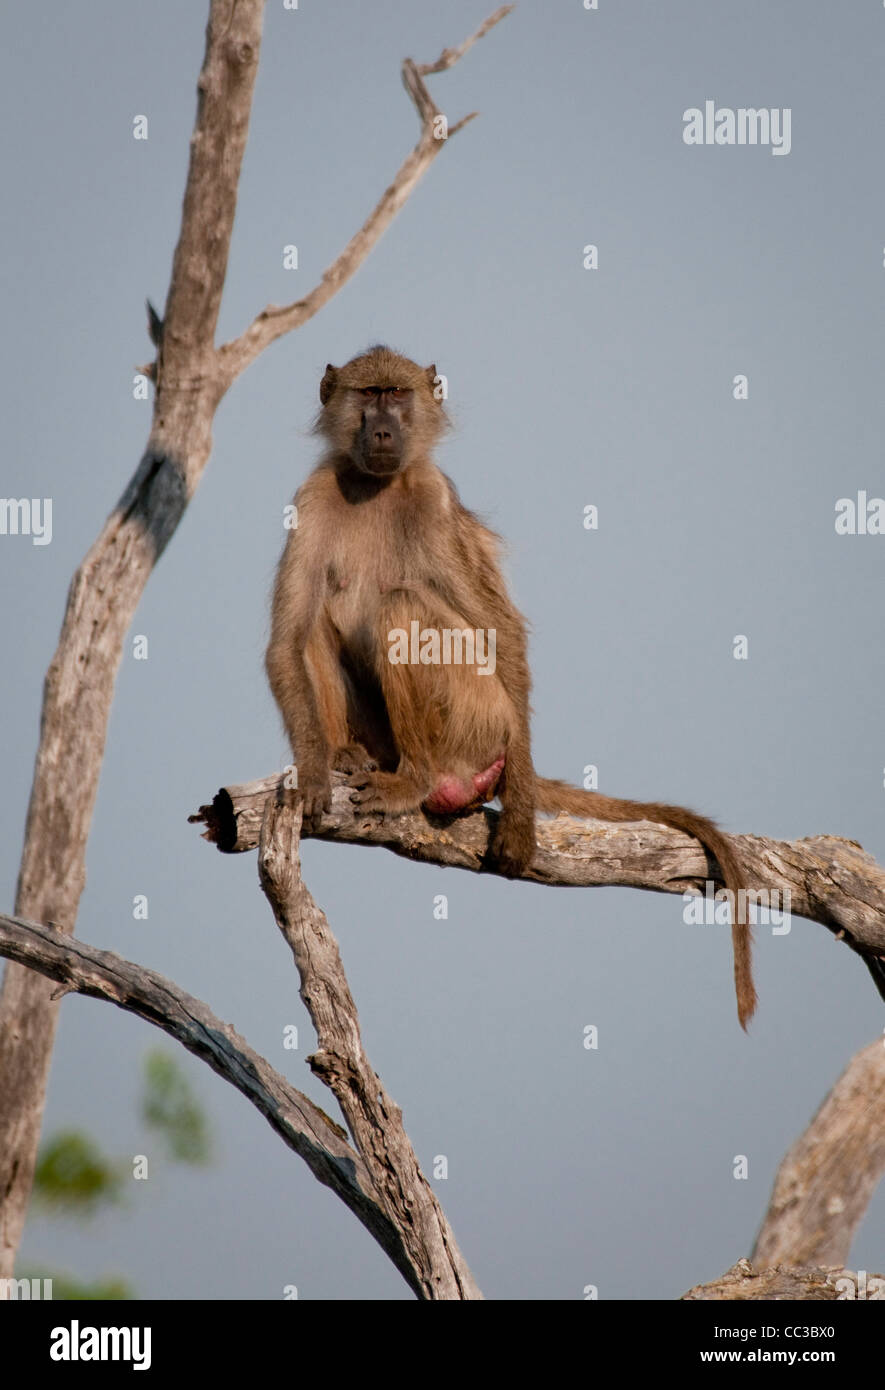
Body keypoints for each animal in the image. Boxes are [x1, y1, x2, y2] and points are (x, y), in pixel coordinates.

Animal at [265, 346, 756, 1029]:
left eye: (397, 395)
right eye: (368, 395)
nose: (383, 433)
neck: (375, 486)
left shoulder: (437, 504)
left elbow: (501, 632)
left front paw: (521, 817)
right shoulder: (311, 498)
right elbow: (288, 640)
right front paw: (313, 768)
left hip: (482, 718)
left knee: (400, 608)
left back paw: (415, 781)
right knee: (318, 623)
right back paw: (347, 755)